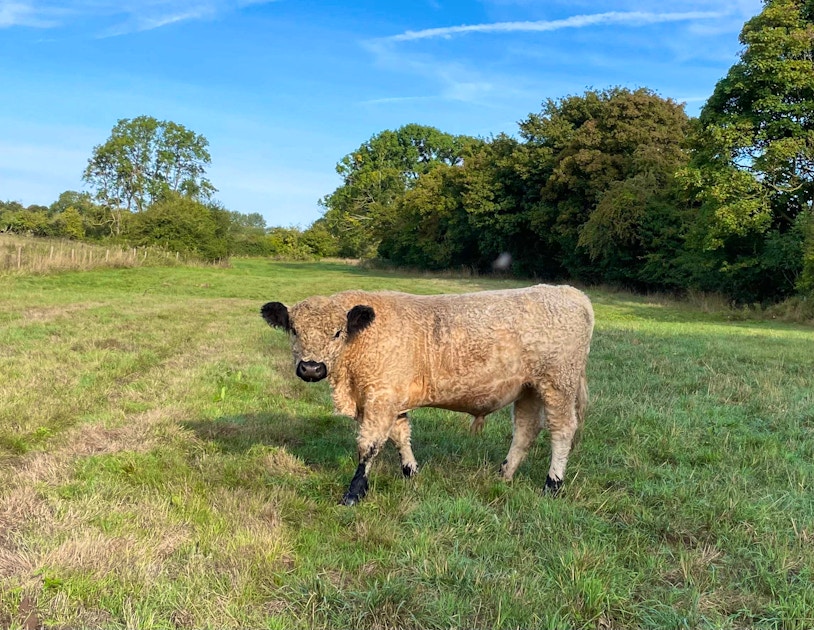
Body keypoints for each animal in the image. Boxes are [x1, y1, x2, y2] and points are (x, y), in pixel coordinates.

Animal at [260, 285, 594, 506]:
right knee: (525, 430)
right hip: (529, 389)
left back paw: (553, 484)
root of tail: (570, 292)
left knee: (562, 430)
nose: (311, 368)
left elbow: (369, 445)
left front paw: (354, 492)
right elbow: (400, 435)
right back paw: (505, 475)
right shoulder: (393, 397)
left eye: (337, 333)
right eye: (294, 330)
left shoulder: (380, 397)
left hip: (558, 383)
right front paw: (411, 473)